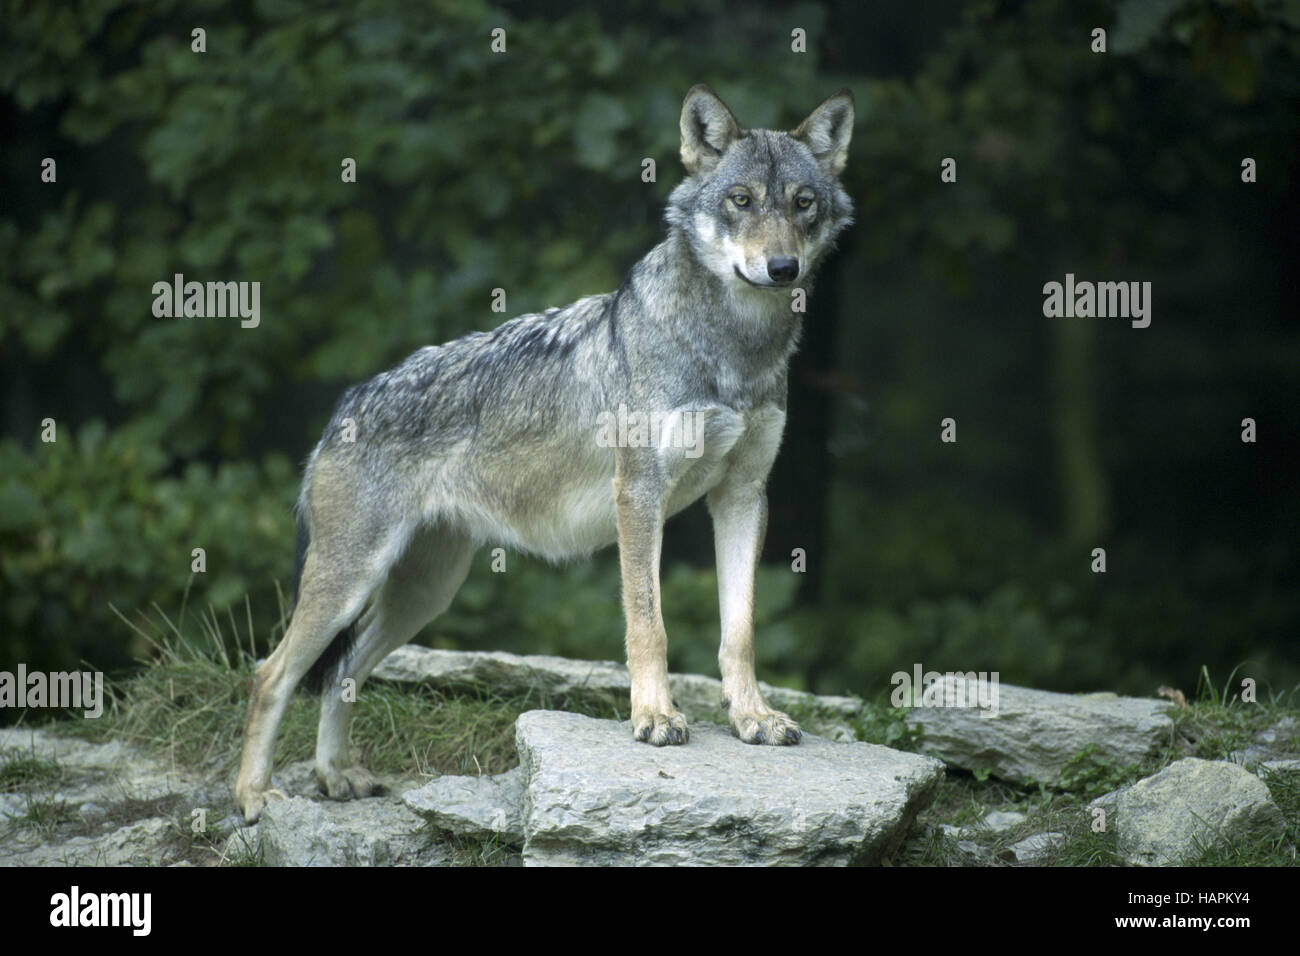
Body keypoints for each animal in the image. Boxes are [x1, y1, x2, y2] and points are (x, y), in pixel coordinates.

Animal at [235, 84, 854, 823]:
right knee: (272, 674)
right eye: (740, 200)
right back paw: (253, 795)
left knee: (345, 672)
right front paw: (654, 718)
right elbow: (649, 623)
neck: (734, 348)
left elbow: (740, 632)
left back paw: (336, 778)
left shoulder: (743, 497)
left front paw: (752, 718)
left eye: (802, 202)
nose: (783, 267)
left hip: (424, 594)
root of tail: (346, 403)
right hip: (351, 580)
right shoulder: (638, 495)